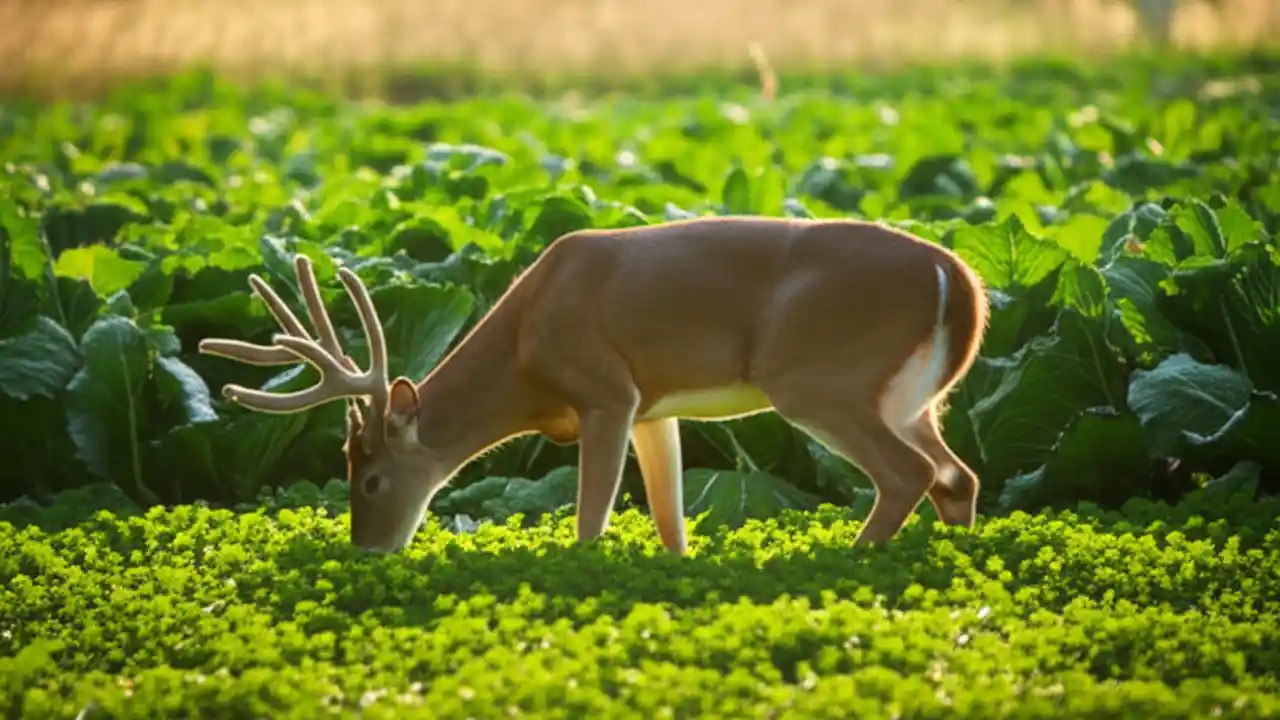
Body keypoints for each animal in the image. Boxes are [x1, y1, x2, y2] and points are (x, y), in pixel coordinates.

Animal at [198, 216, 989, 555]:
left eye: (368, 479)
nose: (367, 551)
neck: (526, 348)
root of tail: (959, 278)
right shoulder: (653, 409)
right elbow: (670, 522)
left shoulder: (605, 392)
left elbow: (589, 520)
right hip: (913, 398)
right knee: (960, 475)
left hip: (821, 378)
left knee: (910, 473)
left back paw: (845, 559)